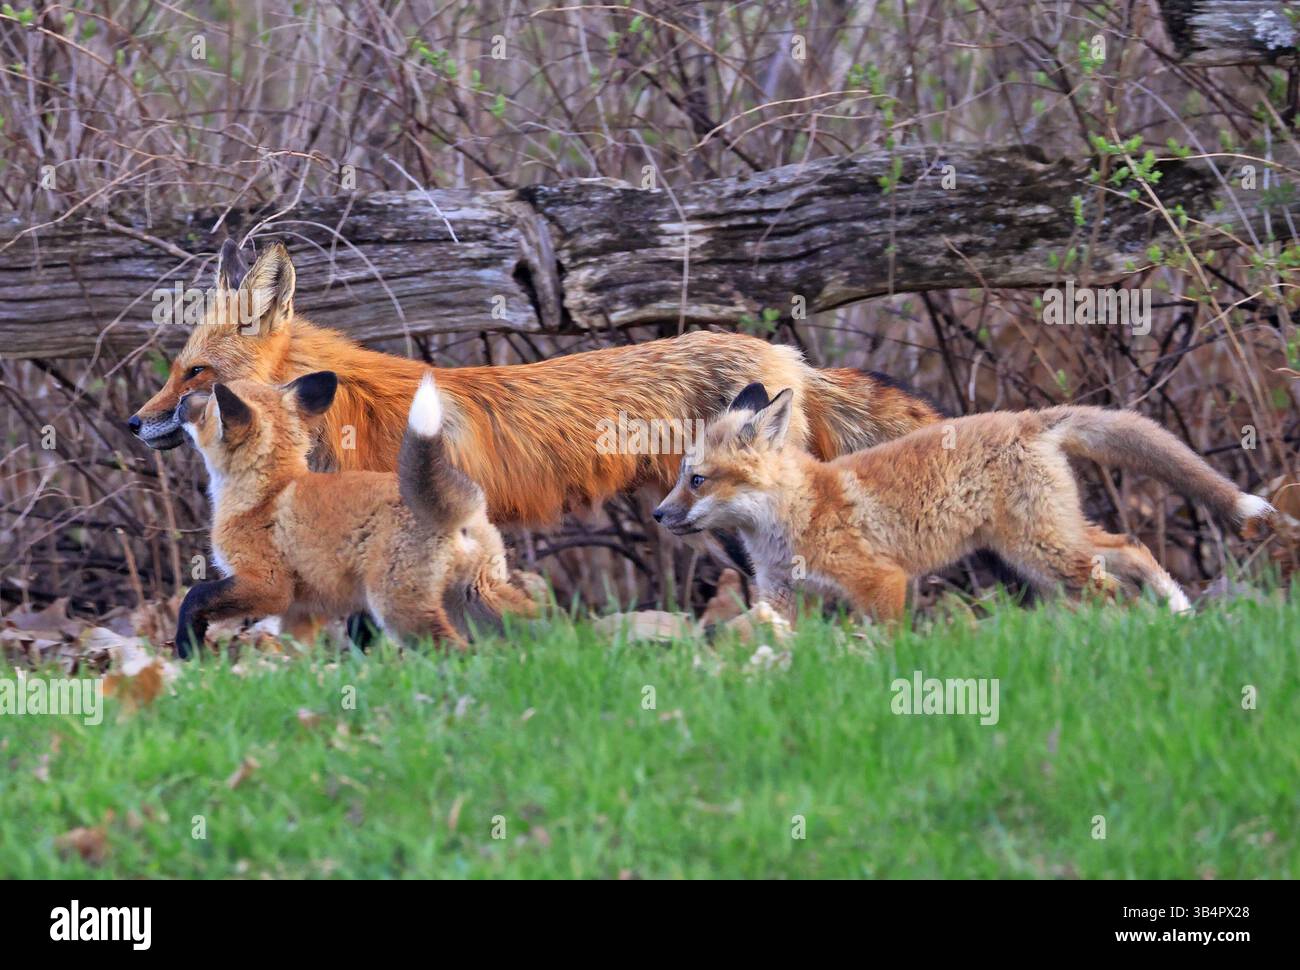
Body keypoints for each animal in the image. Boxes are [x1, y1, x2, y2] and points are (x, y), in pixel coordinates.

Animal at [172, 369, 535, 658]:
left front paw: (188, 647)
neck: (265, 493)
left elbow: (194, 595)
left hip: (399, 609)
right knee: (539, 623)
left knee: (454, 649)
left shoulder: (268, 585)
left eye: (204, 411)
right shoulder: (302, 610)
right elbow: (296, 655)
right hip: (476, 595)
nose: (181, 401)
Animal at [654, 383, 1275, 623]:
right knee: (1129, 546)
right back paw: (1179, 613)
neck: (790, 518)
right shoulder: (780, 597)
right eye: (681, 477)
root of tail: (1027, 418)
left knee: (1112, 574)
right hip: (1043, 545)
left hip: (1044, 549)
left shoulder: (882, 581)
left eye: (697, 480)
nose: (658, 515)